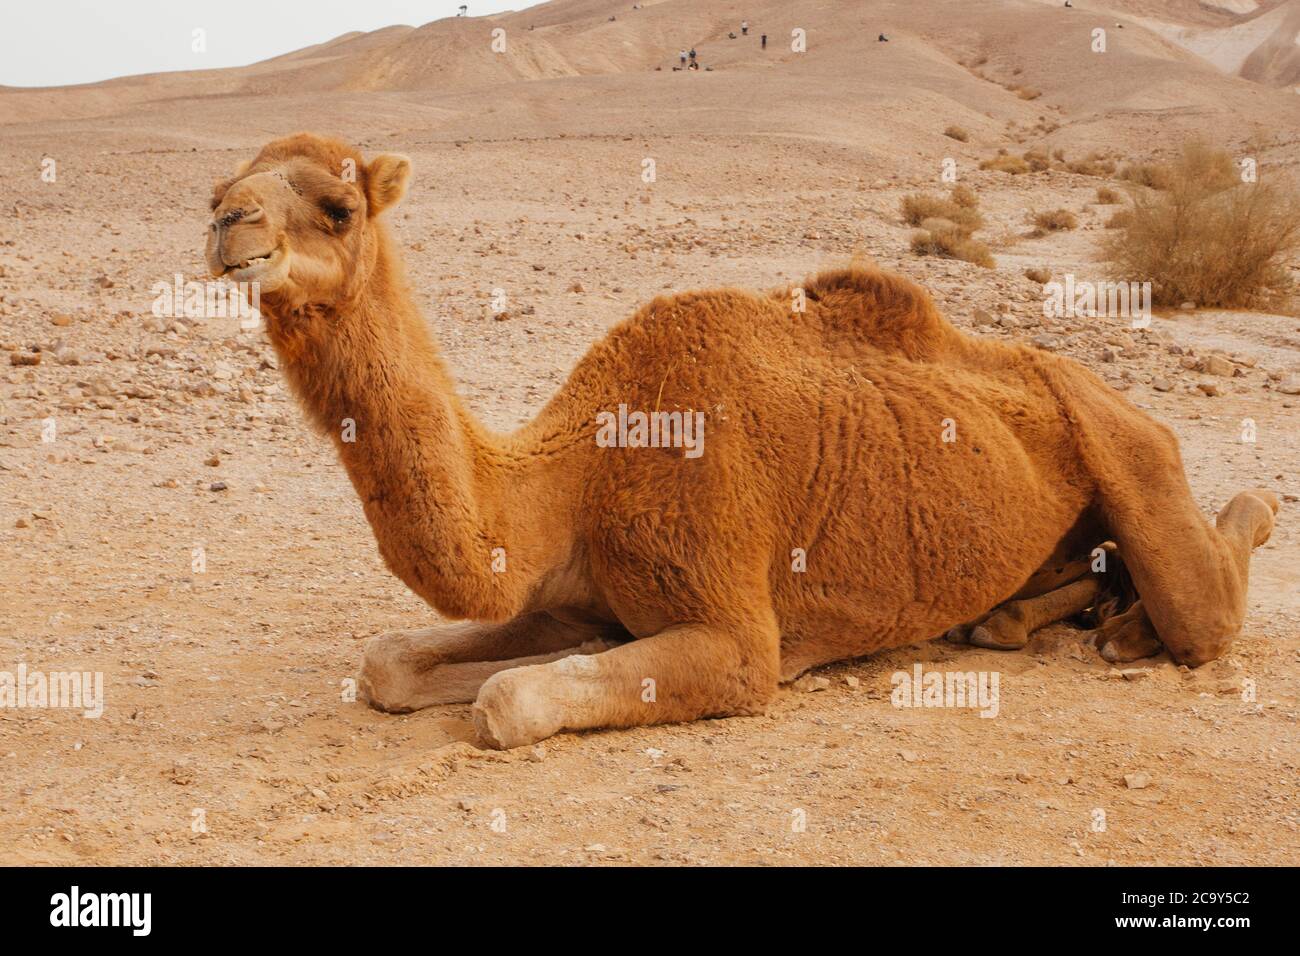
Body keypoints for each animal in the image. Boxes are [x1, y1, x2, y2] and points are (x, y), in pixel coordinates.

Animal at [204, 133, 1279, 749]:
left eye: (339, 206)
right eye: (223, 185)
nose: (228, 221)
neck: (582, 473)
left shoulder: (733, 635)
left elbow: (509, 703)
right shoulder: (574, 594)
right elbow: (393, 663)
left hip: (1131, 448)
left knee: (1203, 600)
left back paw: (1227, 534)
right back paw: (1038, 620)